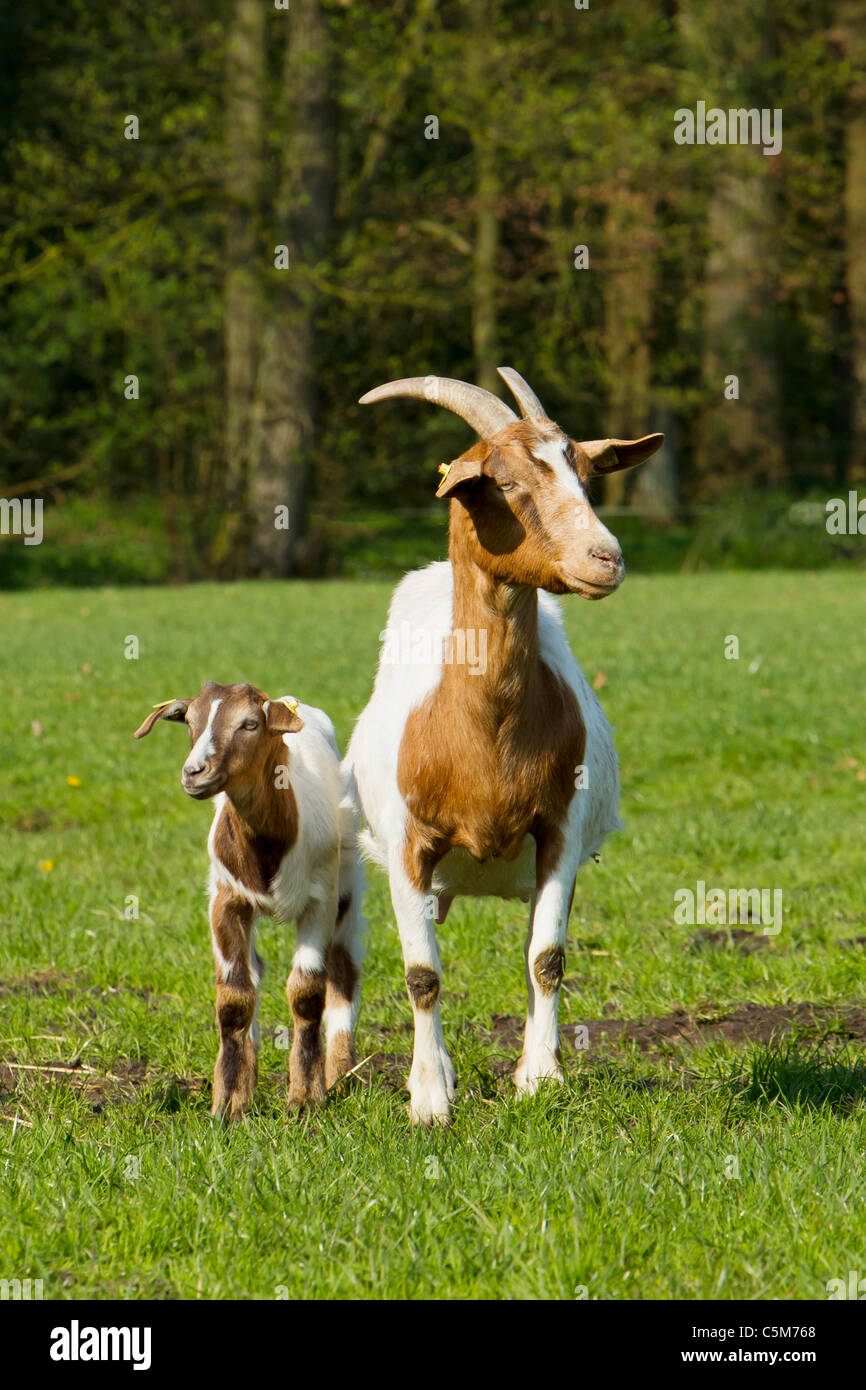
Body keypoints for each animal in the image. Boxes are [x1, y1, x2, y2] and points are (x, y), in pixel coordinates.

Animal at [135, 682, 365, 1119]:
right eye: (189, 721)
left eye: (249, 724)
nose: (193, 772)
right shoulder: (226, 900)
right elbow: (234, 997)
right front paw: (229, 1102)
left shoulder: (319, 901)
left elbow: (307, 993)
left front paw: (306, 1098)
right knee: (254, 970)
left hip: (348, 883)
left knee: (344, 967)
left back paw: (340, 1071)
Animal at [344, 368, 663, 1124]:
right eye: (506, 482)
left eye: (585, 474)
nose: (606, 558)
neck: (480, 741)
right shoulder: (407, 844)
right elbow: (422, 973)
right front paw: (430, 1098)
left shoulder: (561, 832)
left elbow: (547, 959)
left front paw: (539, 1078)